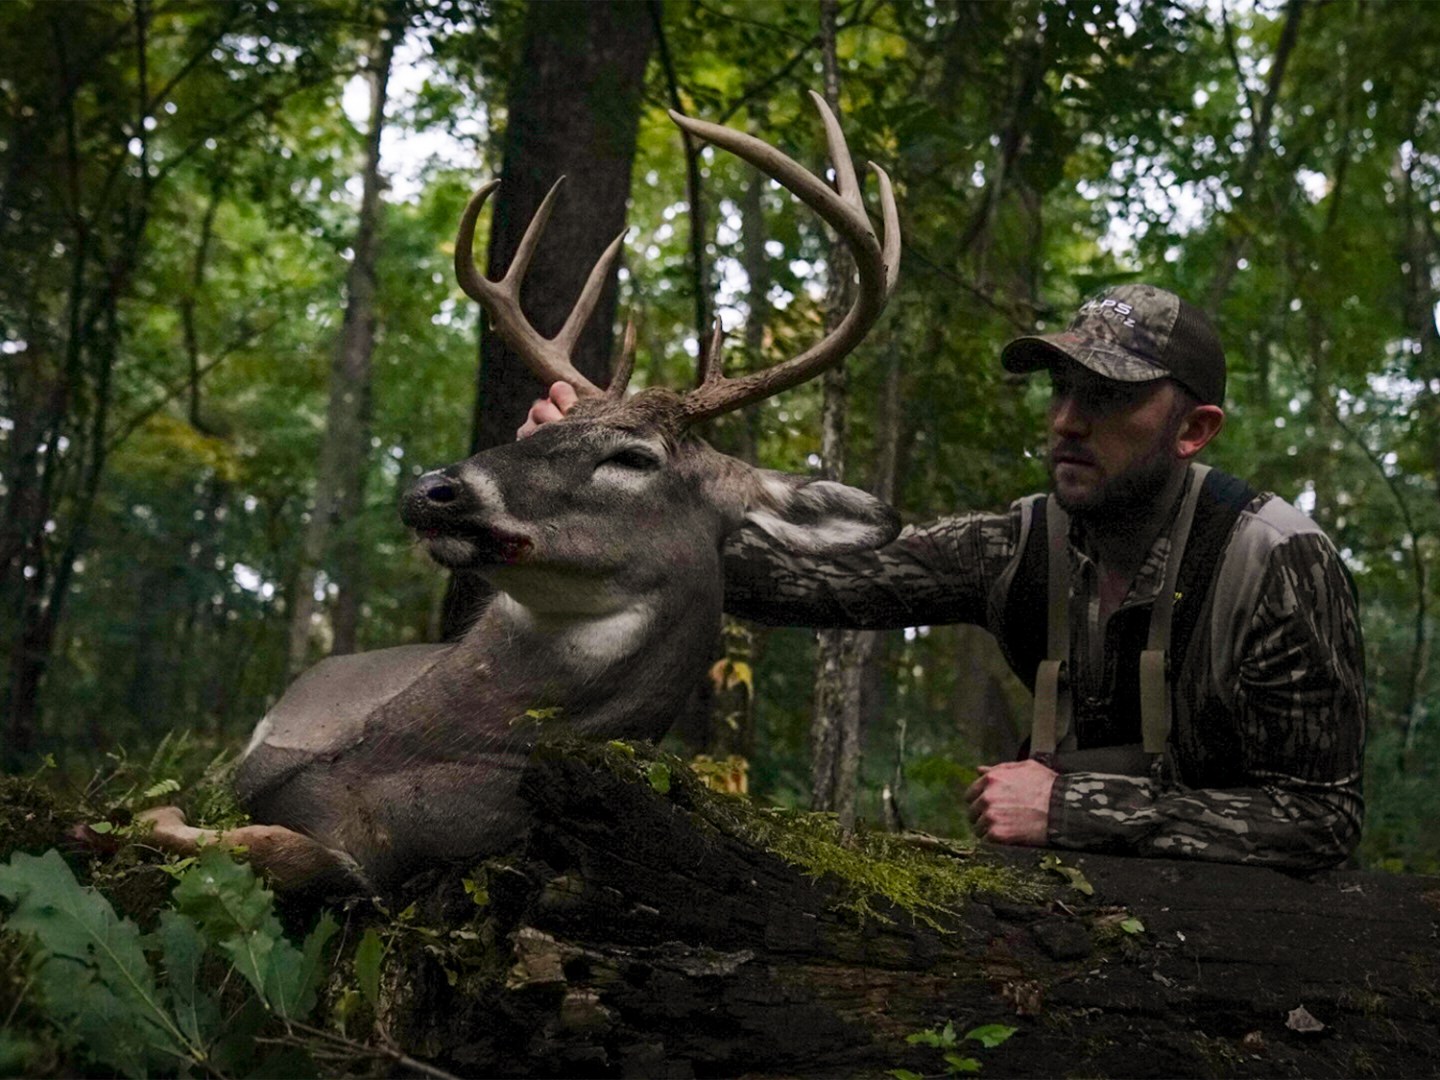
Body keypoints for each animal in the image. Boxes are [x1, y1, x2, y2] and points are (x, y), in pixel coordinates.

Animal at [139, 93, 902, 893]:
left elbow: (263, 847)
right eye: (549, 424)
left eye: (634, 457)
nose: (433, 488)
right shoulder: (253, 761)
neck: (383, 754)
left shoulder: (390, 858)